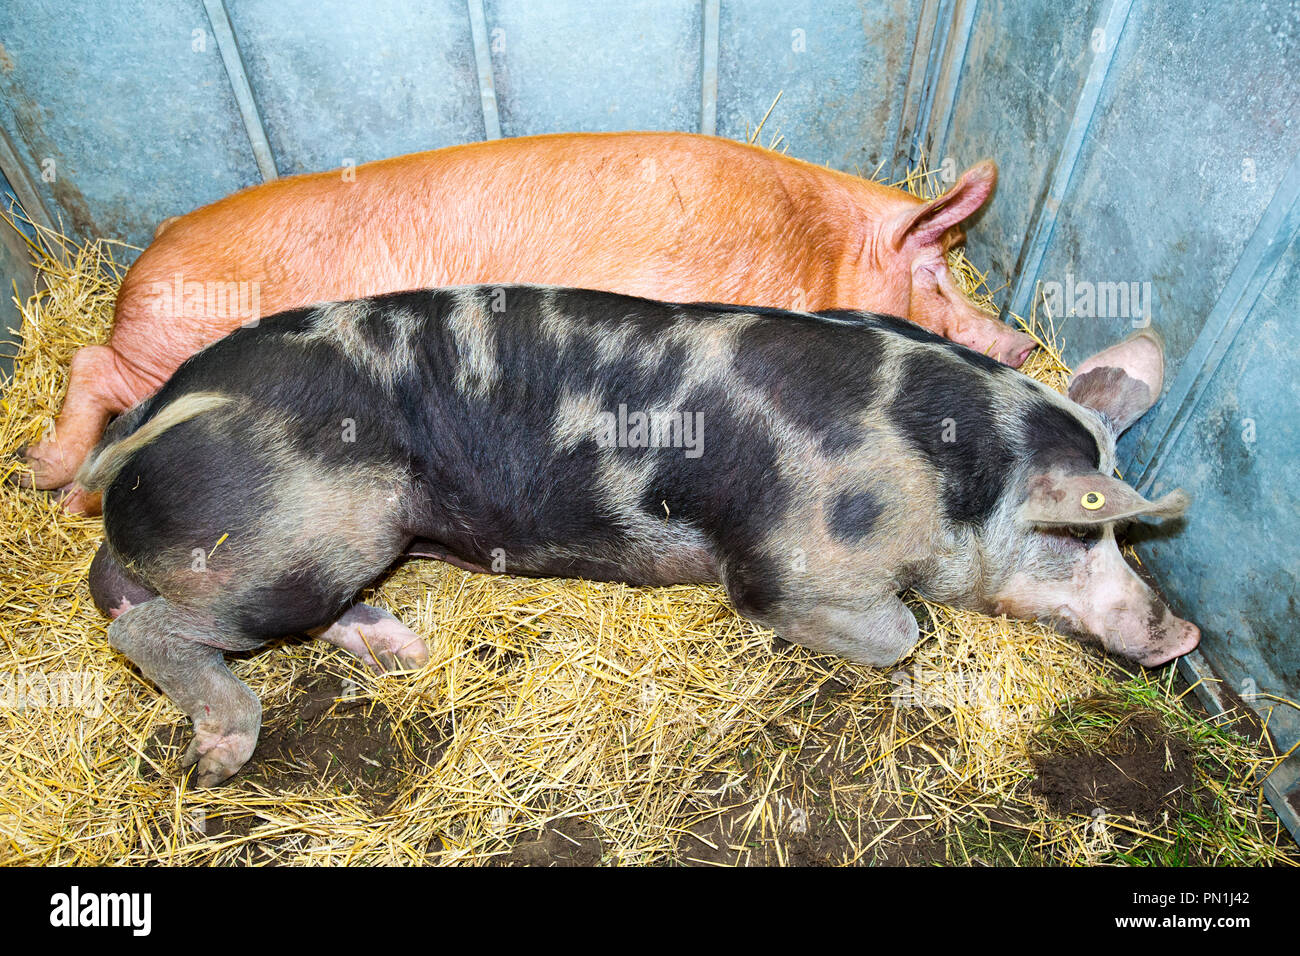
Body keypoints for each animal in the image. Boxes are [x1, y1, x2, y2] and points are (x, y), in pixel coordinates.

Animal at [18, 131, 1037, 506]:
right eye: (939, 277)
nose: (1023, 341)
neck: (812, 247)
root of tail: (143, 259)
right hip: (176, 345)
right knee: (93, 367)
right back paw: (48, 476)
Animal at [80, 286, 1192, 786]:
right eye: (1082, 535)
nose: (1177, 632)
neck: (945, 464)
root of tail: (153, 419)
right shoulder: (789, 567)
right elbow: (899, 633)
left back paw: (404, 647)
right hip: (301, 536)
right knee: (146, 630)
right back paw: (222, 754)